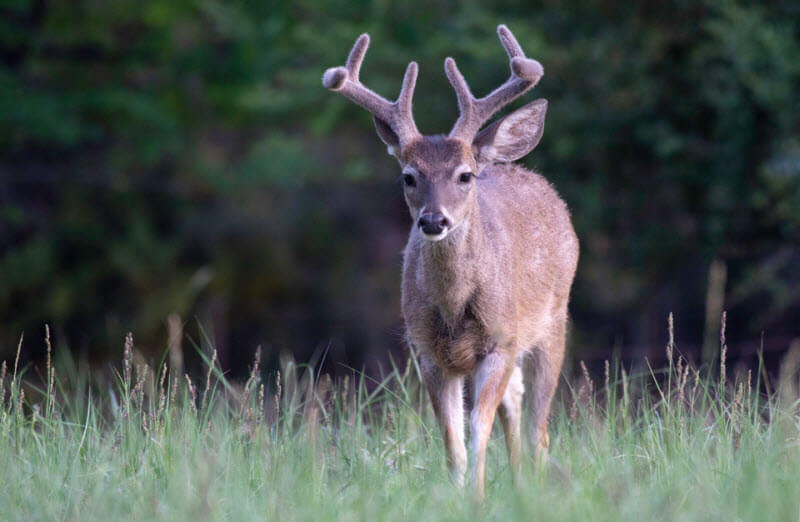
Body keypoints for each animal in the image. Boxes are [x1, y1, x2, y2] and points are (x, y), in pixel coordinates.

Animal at [322, 24, 579, 500]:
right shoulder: (427, 351)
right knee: (516, 403)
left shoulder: (500, 340)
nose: (433, 220)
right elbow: (452, 440)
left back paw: (533, 484)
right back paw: (518, 482)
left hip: (553, 322)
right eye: (408, 176)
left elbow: (478, 429)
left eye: (464, 175)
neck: (455, 310)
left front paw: (476, 499)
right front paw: (459, 497)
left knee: (539, 427)